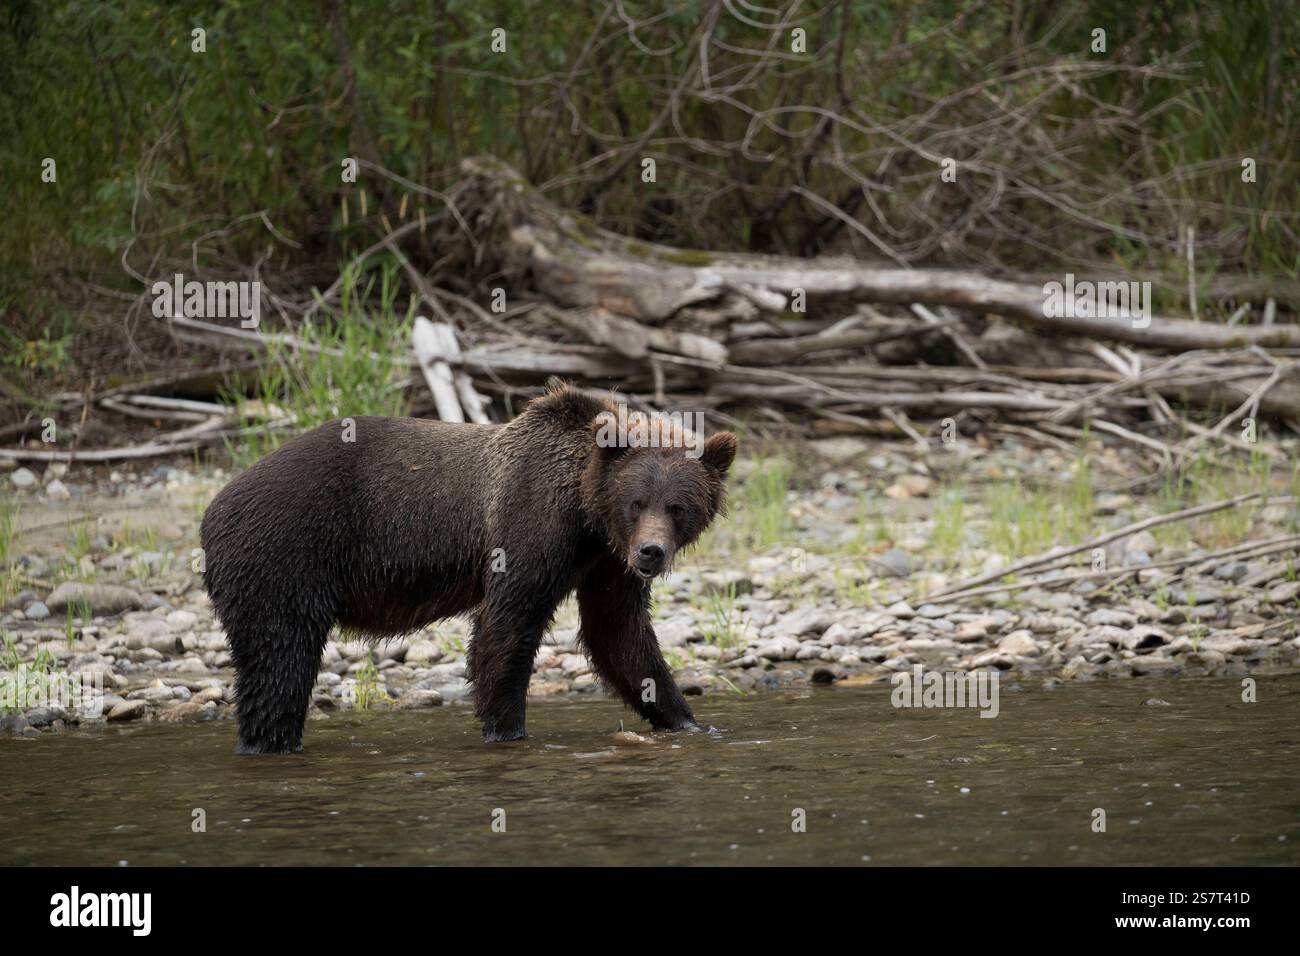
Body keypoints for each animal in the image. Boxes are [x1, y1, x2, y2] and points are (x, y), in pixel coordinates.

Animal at [199, 383, 737, 753]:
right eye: (637, 502)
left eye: (678, 507)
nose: (651, 552)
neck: (584, 508)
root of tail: (214, 508)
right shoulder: (530, 521)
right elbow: (508, 625)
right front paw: (506, 728)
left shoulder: (605, 561)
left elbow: (619, 633)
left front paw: (688, 719)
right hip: (286, 554)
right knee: (280, 659)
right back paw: (270, 740)